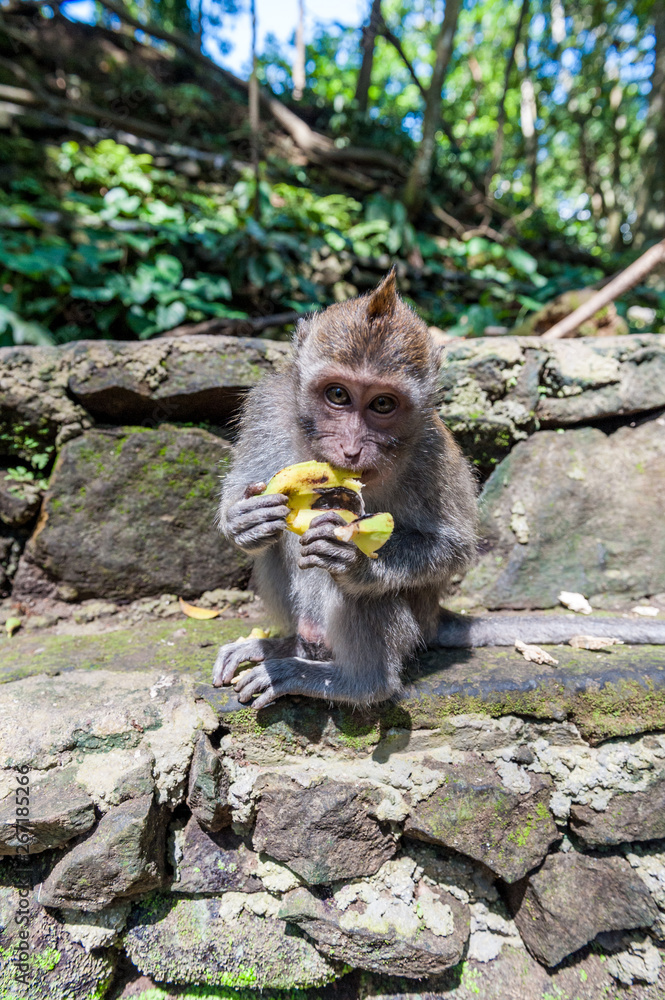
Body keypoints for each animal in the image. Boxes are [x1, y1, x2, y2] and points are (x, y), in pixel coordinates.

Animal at [212, 270, 665, 709]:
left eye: (382, 404)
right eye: (338, 394)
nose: (350, 449)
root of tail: (434, 618)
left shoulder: (432, 450)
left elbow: (453, 548)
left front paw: (356, 560)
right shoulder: (268, 408)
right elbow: (246, 493)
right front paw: (243, 520)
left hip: (411, 624)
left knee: (357, 592)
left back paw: (354, 681)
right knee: (276, 545)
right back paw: (287, 645)